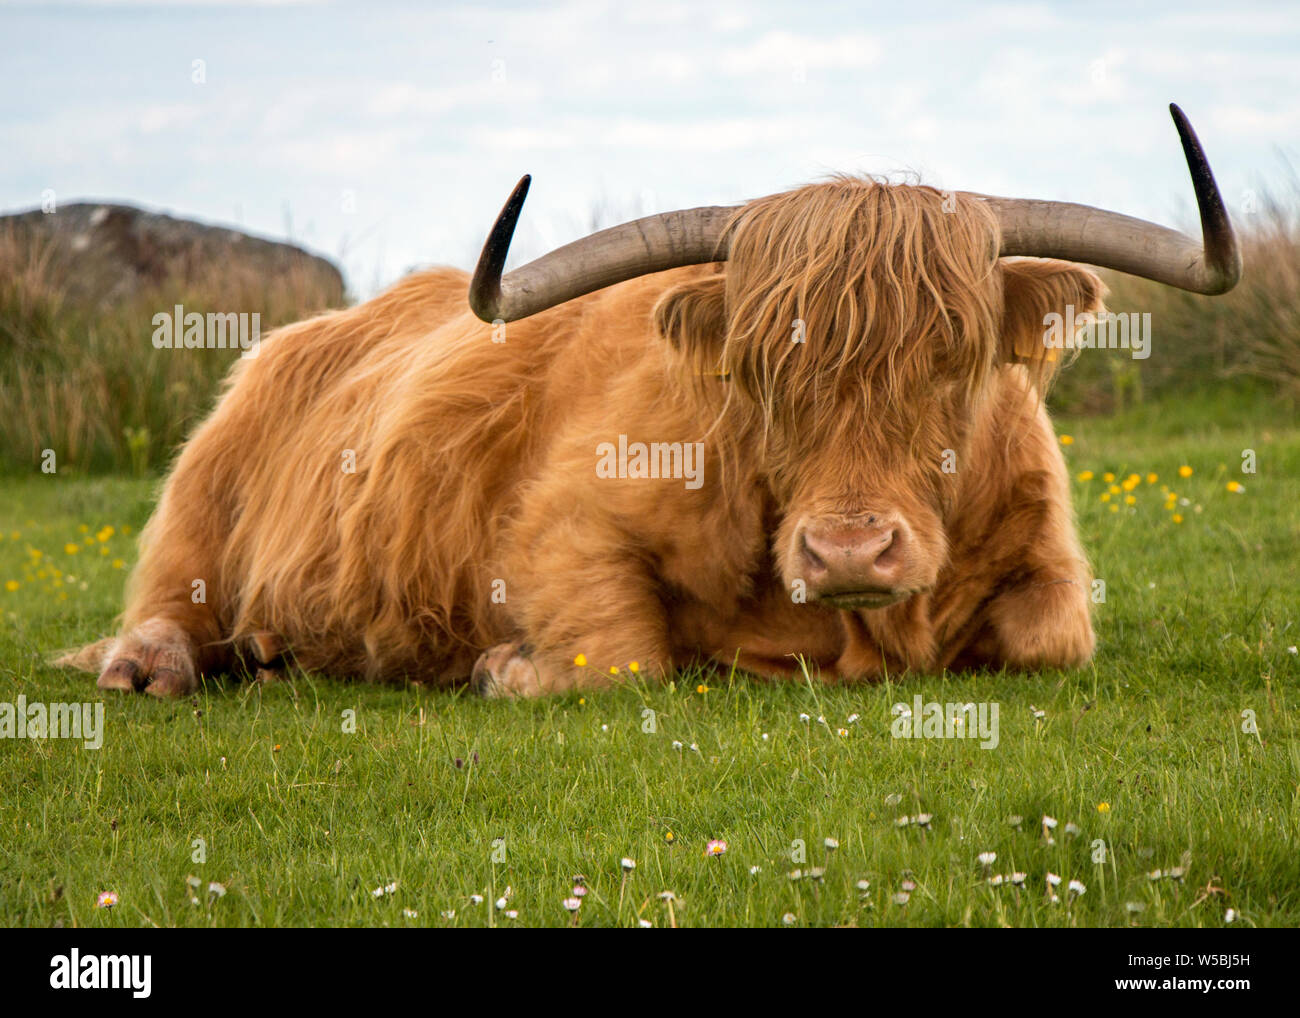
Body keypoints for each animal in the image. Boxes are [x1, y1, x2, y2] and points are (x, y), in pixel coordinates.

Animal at [60, 104, 1240, 698]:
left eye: (955, 360)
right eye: (761, 371)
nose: (850, 550)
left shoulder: (1048, 560)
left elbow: (1051, 634)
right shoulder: (559, 529)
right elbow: (624, 656)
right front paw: (503, 666)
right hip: (201, 504)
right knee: (166, 602)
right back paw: (149, 666)